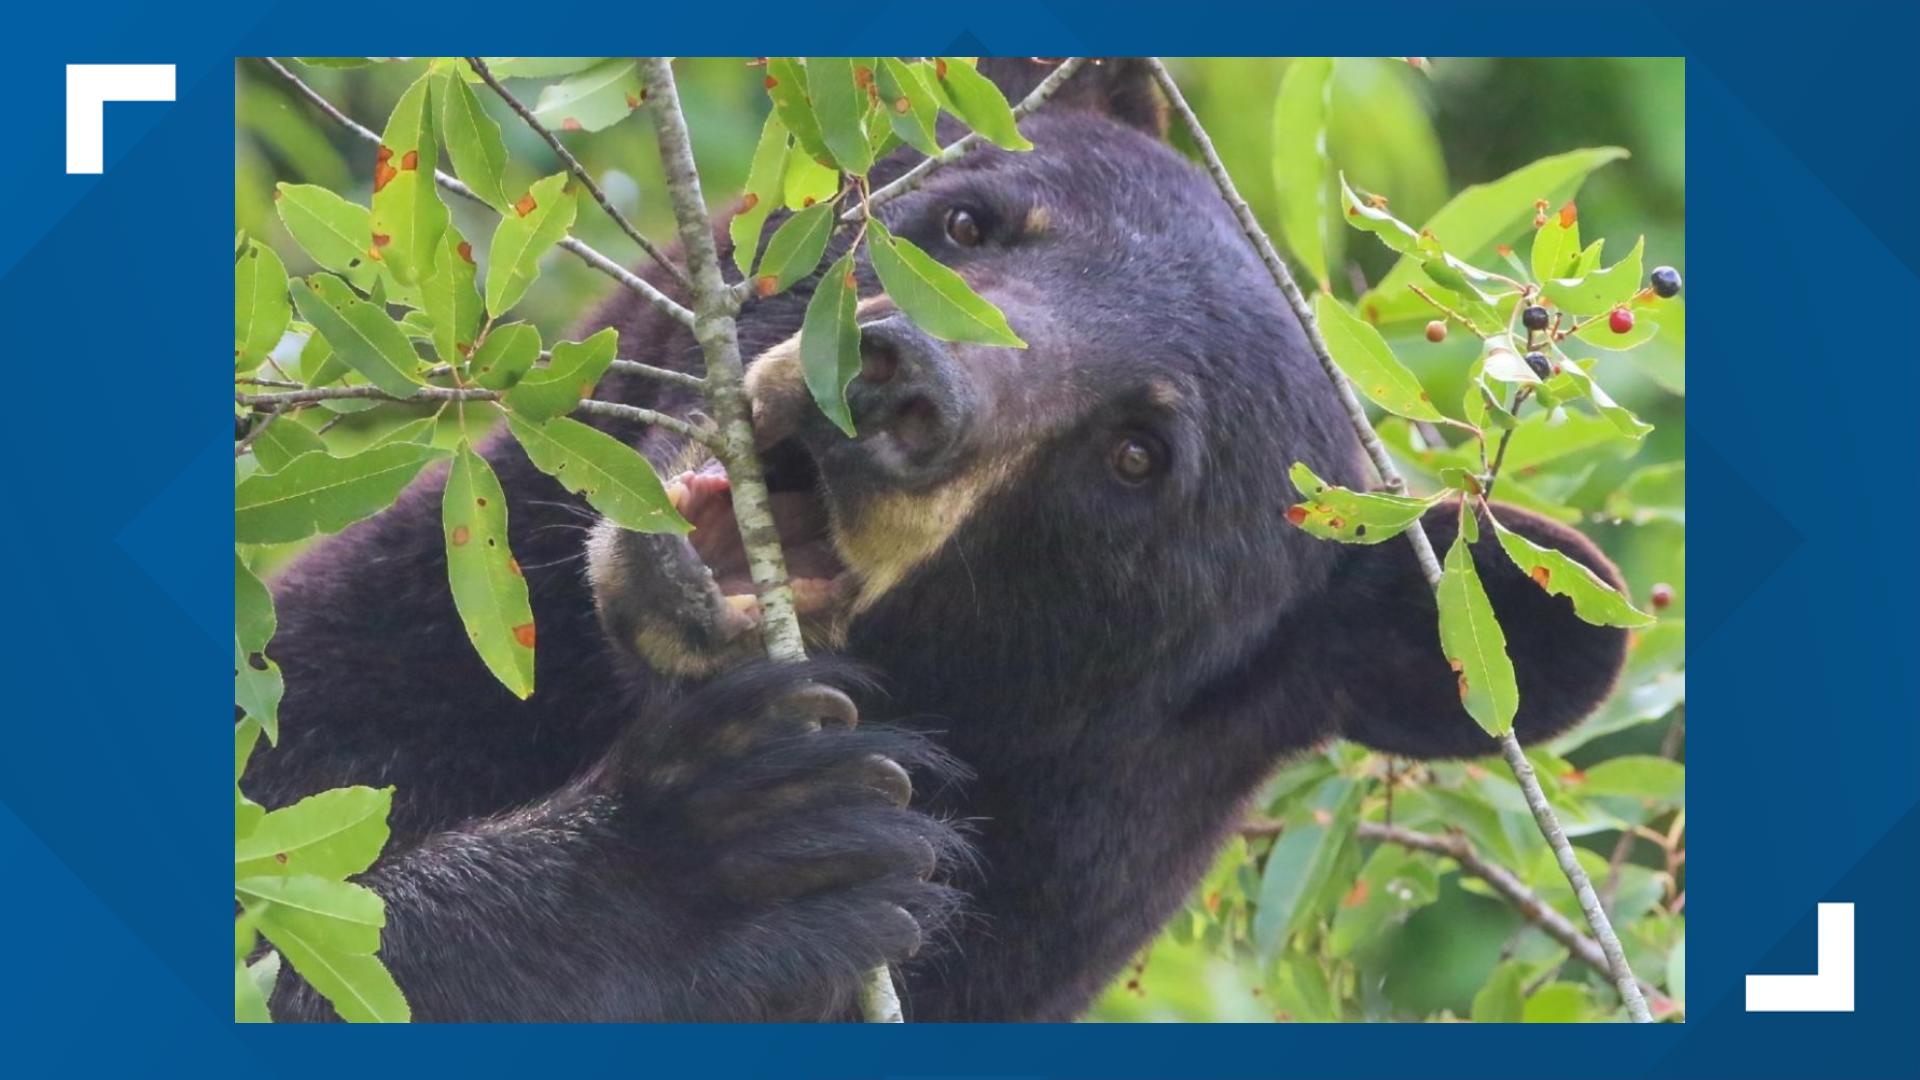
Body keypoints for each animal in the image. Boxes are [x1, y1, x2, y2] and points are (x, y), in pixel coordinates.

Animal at [245, 58, 1630, 1022]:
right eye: (970, 223)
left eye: (1138, 457)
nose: (902, 385)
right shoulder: (384, 672)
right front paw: (708, 866)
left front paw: (738, 862)